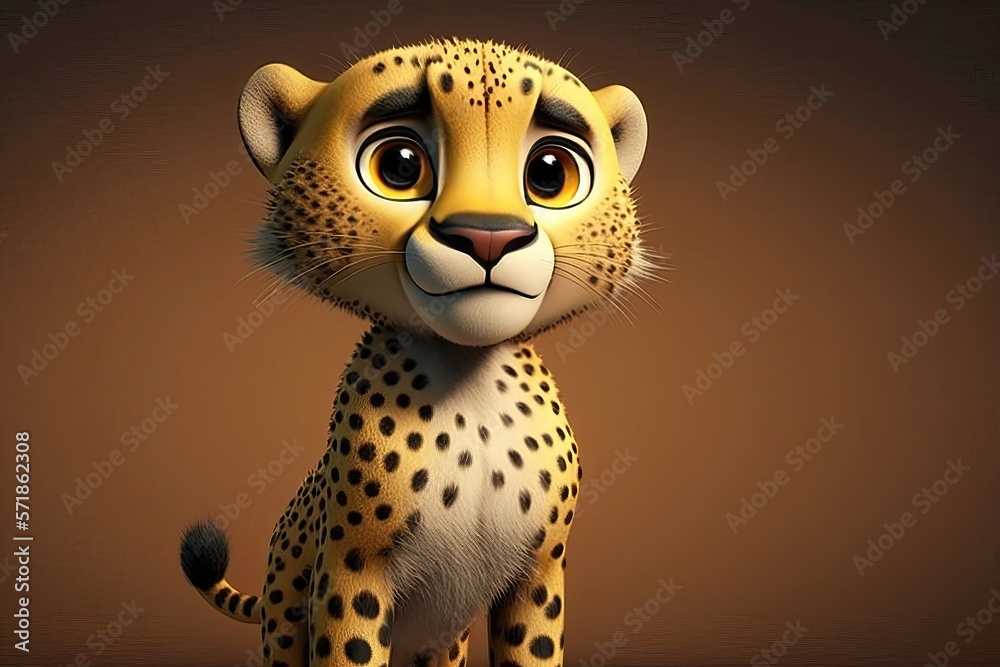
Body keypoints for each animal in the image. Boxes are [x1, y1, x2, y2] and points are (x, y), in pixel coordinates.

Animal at [179, 36, 659, 667]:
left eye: (550, 172)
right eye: (401, 165)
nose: (488, 237)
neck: (468, 374)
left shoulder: (539, 573)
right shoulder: (351, 570)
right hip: (285, 620)